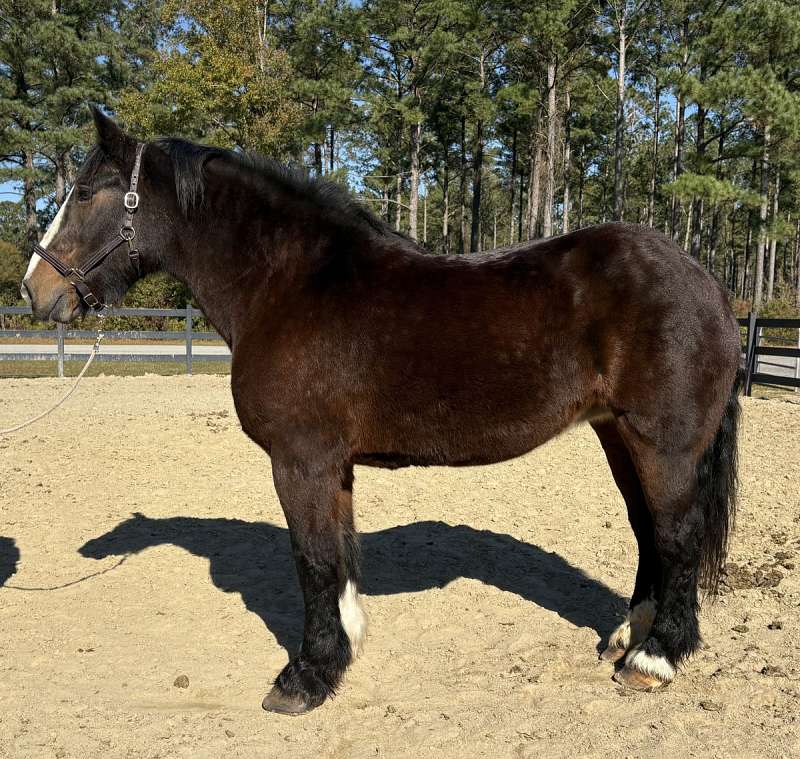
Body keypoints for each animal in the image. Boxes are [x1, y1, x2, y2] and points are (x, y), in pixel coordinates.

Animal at [21, 107, 742, 714]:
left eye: (86, 192)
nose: (35, 288)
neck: (287, 285)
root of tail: (706, 280)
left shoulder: (300, 461)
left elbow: (312, 559)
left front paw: (305, 678)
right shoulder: (331, 465)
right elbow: (338, 555)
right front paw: (342, 650)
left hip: (662, 443)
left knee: (676, 535)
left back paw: (654, 658)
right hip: (618, 434)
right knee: (648, 530)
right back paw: (629, 636)